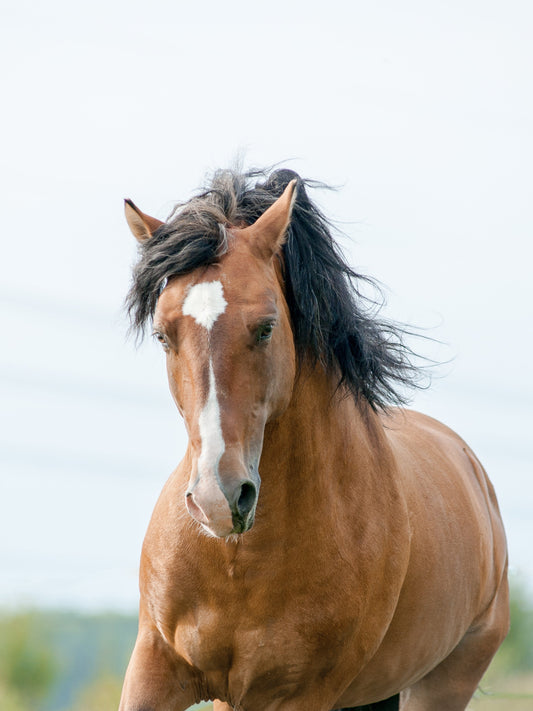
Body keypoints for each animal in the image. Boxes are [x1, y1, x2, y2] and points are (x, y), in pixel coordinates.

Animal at [119, 167, 509, 711]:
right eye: (162, 335)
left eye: (266, 328)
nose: (218, 499)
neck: (240, 560)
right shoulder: (156, 668)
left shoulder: (300, 695)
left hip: (443, 683)